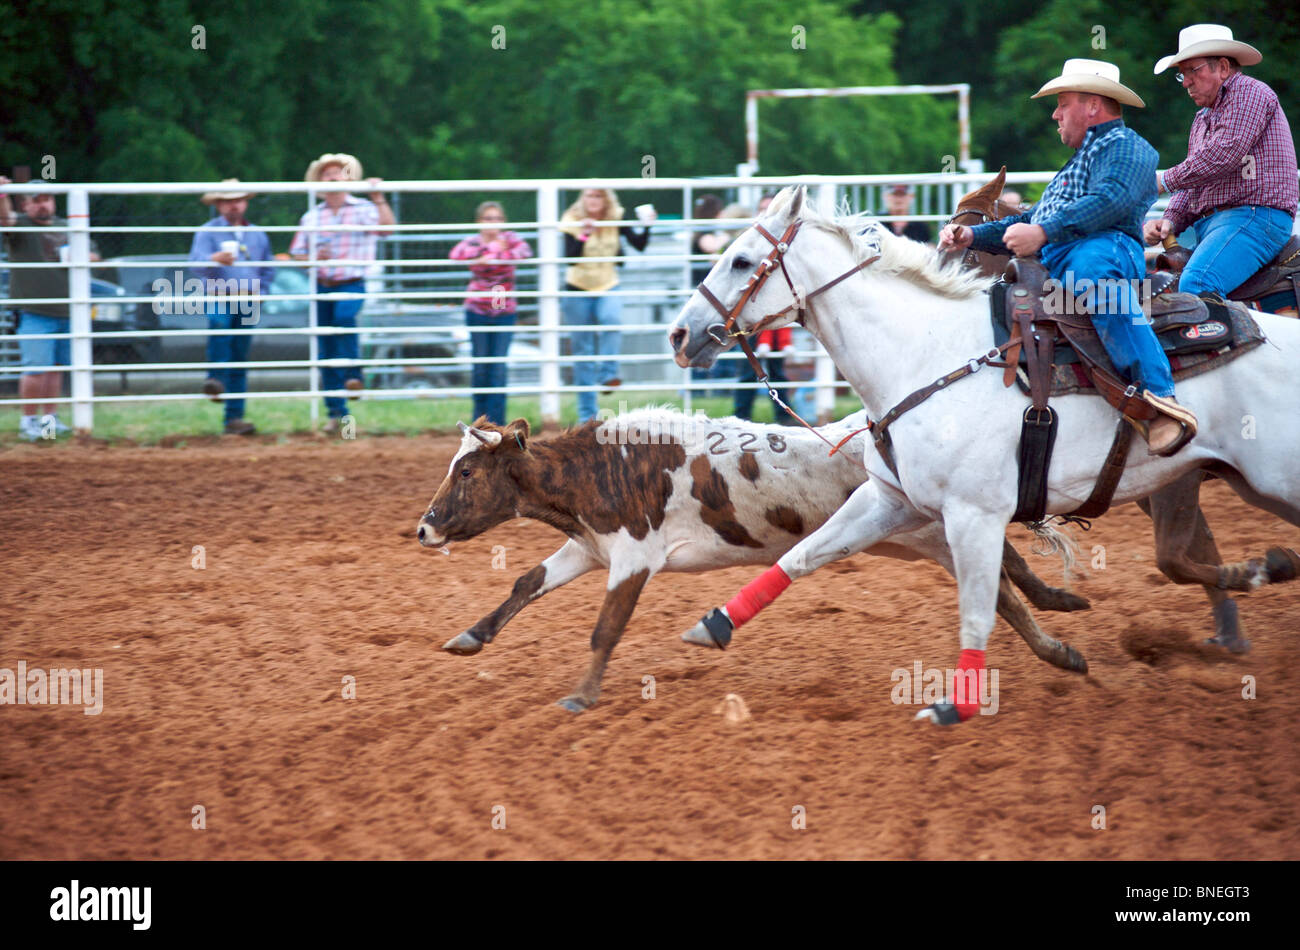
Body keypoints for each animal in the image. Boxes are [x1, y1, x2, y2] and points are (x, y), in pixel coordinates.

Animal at [417, 409, 1088, 712]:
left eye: (468, 471)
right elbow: (527, 581)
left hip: (937, 532)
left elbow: (605, 628)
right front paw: (469, 637)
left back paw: (1057, 635)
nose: (424, 528)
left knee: (1001, 586)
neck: (597, 469)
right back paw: (1061, 644)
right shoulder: (589, 547)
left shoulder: (634, 558)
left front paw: (581, 696)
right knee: (1003, 590)